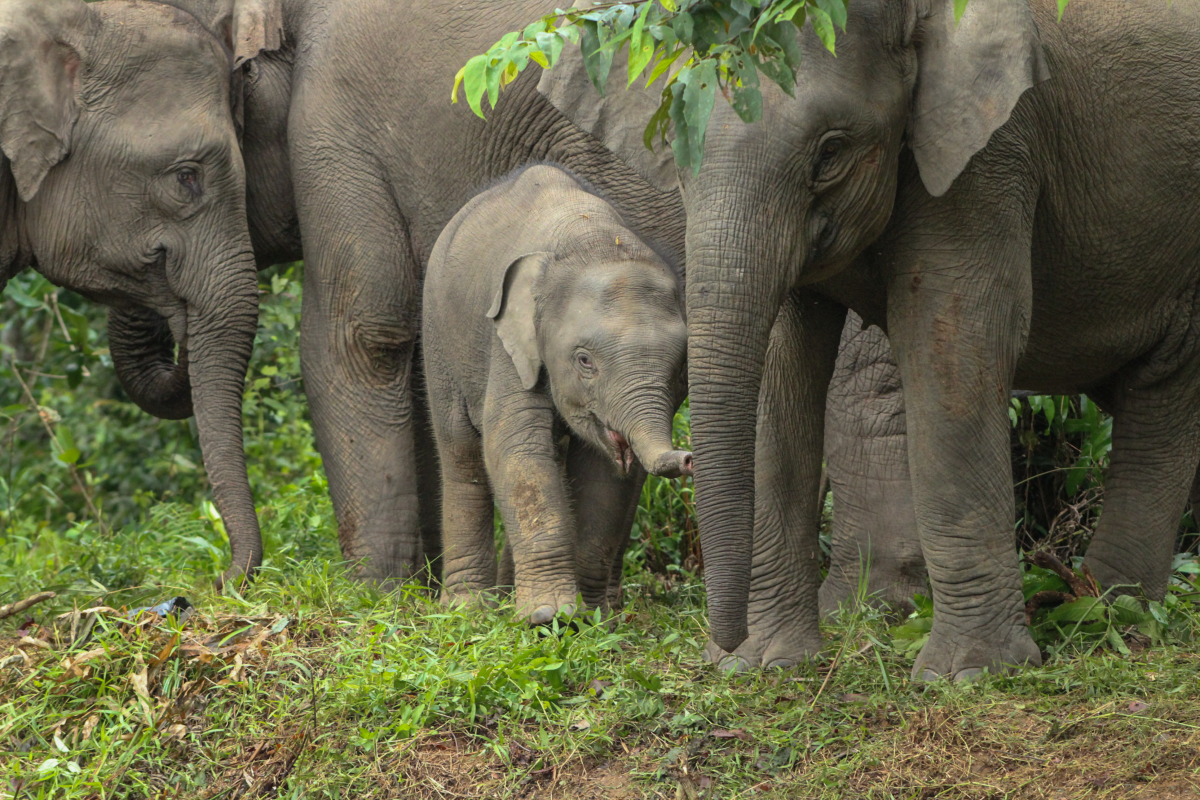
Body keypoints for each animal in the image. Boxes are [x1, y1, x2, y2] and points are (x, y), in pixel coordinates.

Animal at [424, 164, 691, 622]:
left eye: (679, 369)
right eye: (584, 361)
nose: (688, 458)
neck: (591, 237)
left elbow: (606, 478)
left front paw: (592, 616)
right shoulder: (510, 346)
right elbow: (515, 447)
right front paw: (550, 617)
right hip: (439, 334)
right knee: (461, 455)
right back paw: (468, 608)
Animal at [542, 0, 1200, 679]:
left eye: (830, 152)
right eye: (677, 148)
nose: (721, 644)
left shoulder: (991, 155)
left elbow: (952, 341)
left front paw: (969, 674)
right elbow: (782, 358)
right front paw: (764, 664)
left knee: (1164, 385)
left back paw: (1110, 611)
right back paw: (1105, 607)